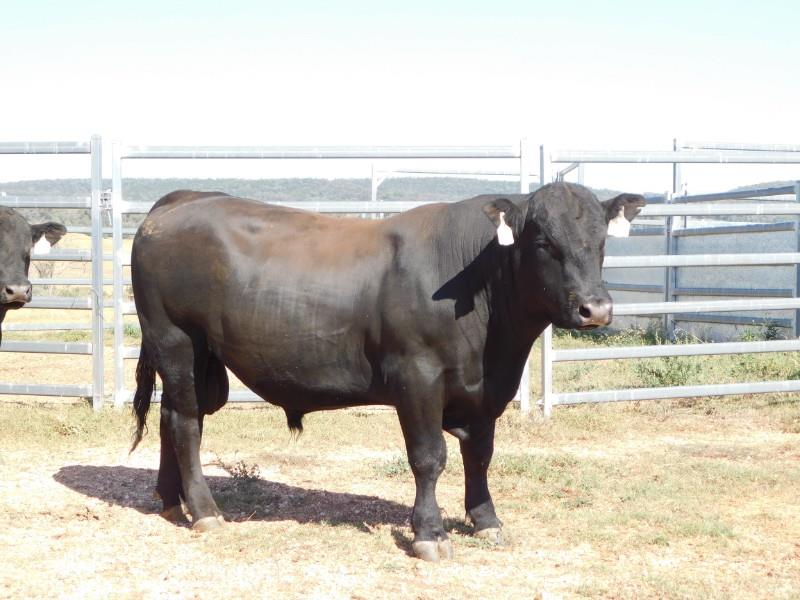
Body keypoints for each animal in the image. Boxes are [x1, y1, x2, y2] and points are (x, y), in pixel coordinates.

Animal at [129, 182, 645, 561]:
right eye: (543, 242)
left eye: (601, 241)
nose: (596, 309)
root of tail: (182, 199)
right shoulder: (417, 376)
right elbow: (429, 457)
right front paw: (430, 534)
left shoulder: (485, 392)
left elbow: (480, 455)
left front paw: (487, 521)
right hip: (176, 341)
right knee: (185, 423)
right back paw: (205, 511)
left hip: (199, 359)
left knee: (170, 416)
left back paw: (171, 501)